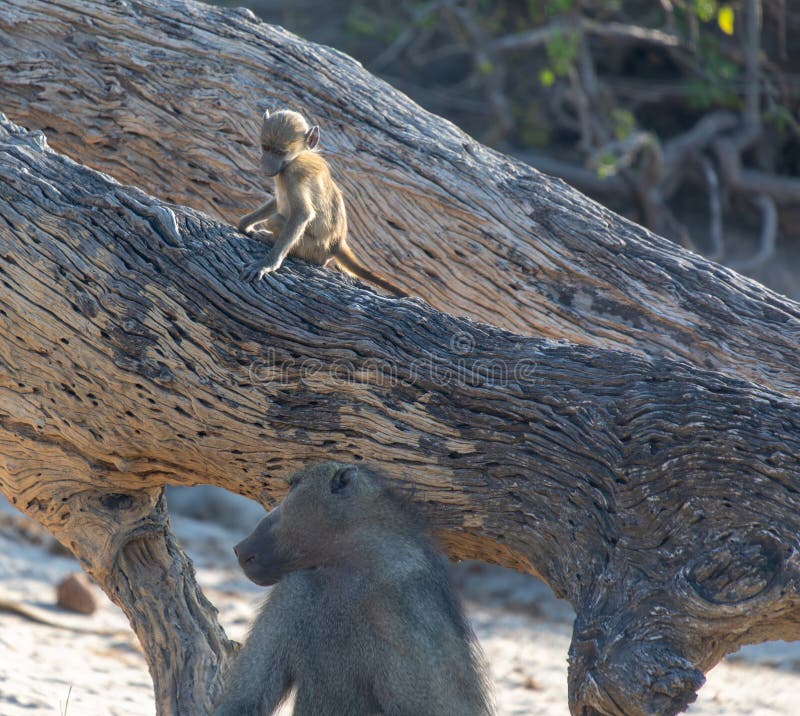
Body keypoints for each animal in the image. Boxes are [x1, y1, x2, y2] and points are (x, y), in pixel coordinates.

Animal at [213, 462, 492, 716]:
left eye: (293, 486)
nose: (240, 548)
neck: (352, 564)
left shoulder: (408, 611)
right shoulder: (293, 590)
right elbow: (244, 701)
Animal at [238, 109, 409, 298]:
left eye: (280, 152)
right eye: (266, 148)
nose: (266, 164)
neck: (294, 159)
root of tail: (336, 243)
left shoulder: (292, 175)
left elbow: (302, 214)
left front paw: (266, 265)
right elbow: (278, 202)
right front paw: (245, 225)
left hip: (313, 249)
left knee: (276, 220)